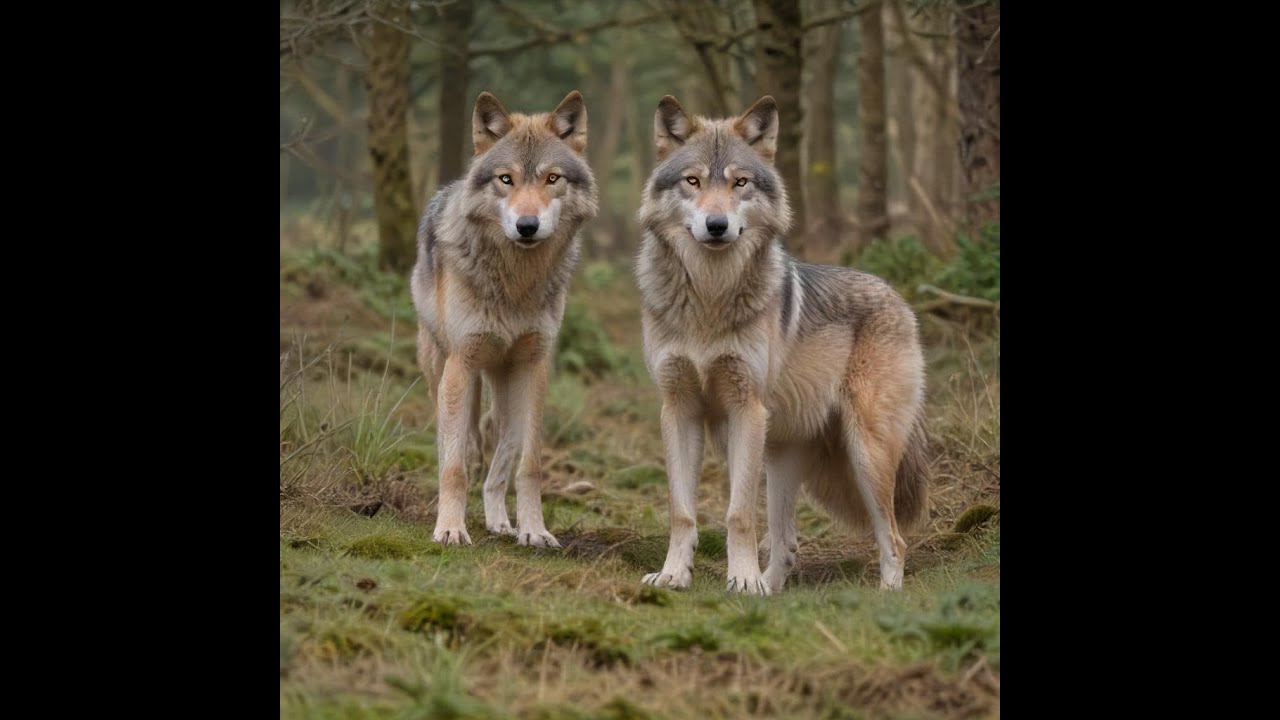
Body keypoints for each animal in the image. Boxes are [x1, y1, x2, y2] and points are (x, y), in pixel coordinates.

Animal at [411, 90, 598, 548]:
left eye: (552, 179)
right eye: (506, 179)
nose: (526, 226)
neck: (516, 284)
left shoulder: (534, 367)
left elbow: (530, 466)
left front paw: (534, 531)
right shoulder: (461, 364)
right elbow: (454, 465)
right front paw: (450, 528)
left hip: (508, 390)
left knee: (500, 456)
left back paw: (499, 520)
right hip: (443, 371)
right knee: (458, 446)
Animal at [634, 95, 929, 594]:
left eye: (740, 182)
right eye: (693, 180)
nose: (717, 225)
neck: (709, 298)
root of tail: (897, 296)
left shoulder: (745, 409)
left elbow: (737, 515)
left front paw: (741, 580)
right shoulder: (678, 410)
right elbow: (682, 511)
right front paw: (674, 575)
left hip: (864, 451)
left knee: (894, 537)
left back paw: (884, 593)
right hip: (780, 456)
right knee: (787, 541)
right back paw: (769, 589)